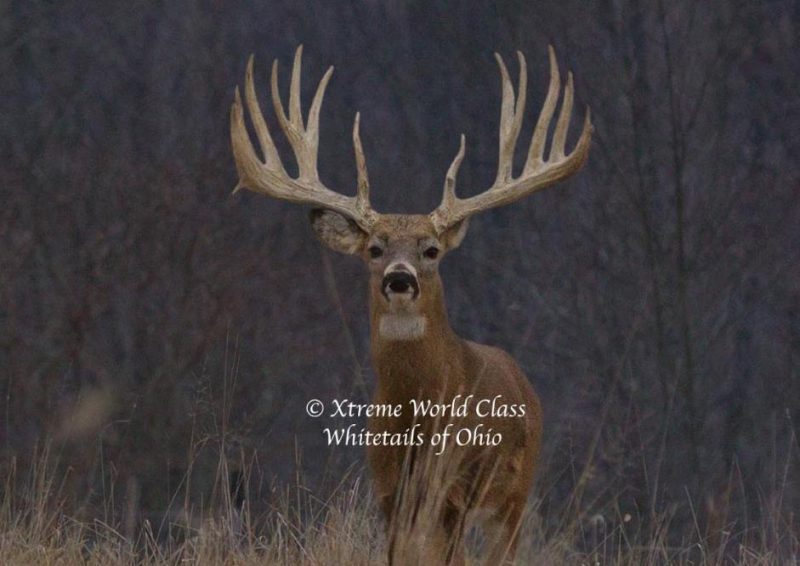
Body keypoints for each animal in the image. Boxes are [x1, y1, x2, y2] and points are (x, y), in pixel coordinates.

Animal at [230, 45, 592, 565]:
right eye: (374, 249)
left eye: (431, 250)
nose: (399, 279)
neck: (417, 412)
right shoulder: (388, 491)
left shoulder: (456, 490)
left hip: (513, 497)